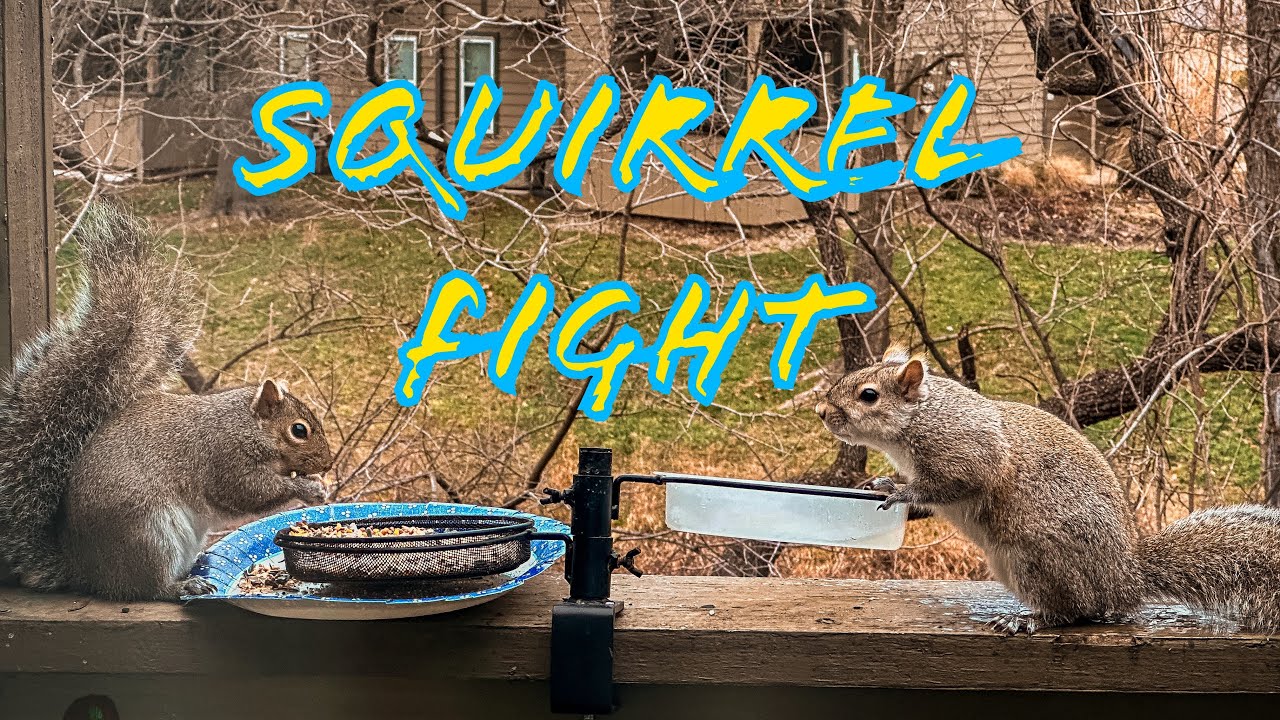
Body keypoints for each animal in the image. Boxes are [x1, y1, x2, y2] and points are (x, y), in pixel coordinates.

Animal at [0, 202, 334, 601]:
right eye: (299, 430)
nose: (328, 464)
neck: (245, 425)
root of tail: (86, 571)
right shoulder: (224, 457)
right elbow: (247, 492)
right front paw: (308, 488)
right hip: (149, 534)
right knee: (148, 588)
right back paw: (181, 585)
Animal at [815, 344, 1280, 635]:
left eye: (869, 395)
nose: (821, 410)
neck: (922, 417)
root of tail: (1125, 577)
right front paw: (882, 481)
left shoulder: (969, 452)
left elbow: (953, 483)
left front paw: (901, 492)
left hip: (1035, 557)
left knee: (1076, 612)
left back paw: (1030, 619)